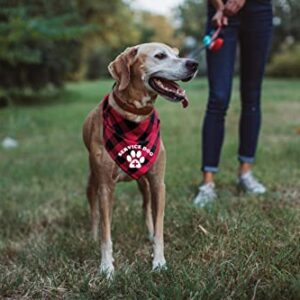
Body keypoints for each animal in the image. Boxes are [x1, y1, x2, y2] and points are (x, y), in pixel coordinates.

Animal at [83, 42, 198, 278]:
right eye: (160, 55)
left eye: (177, 53)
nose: (194, 64)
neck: (134, 117)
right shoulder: (105, 187)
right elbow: (106, 233)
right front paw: (106, 267)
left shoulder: (158, 183)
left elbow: (159, 224)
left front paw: (159, 262)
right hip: (93, 181)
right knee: (95, 212)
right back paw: (92, 235)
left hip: (144, 182)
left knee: (146, 207)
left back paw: (149, 232)